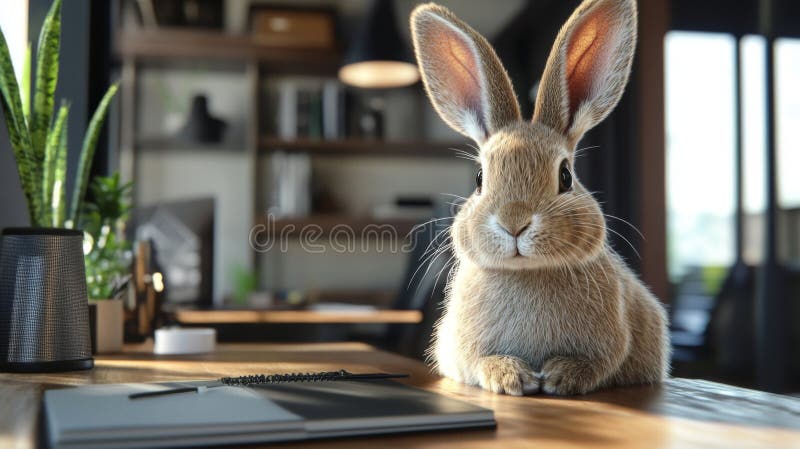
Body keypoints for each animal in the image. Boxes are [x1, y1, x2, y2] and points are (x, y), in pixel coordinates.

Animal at [410, 0, 670, 396]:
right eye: (480, 179)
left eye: (565, 176)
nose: (514, 222)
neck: (526, 272)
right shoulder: (462, 350)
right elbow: (479, 361)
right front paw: (509, 376)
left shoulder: (612, 342)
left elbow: (599, 363)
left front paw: (562, 376)